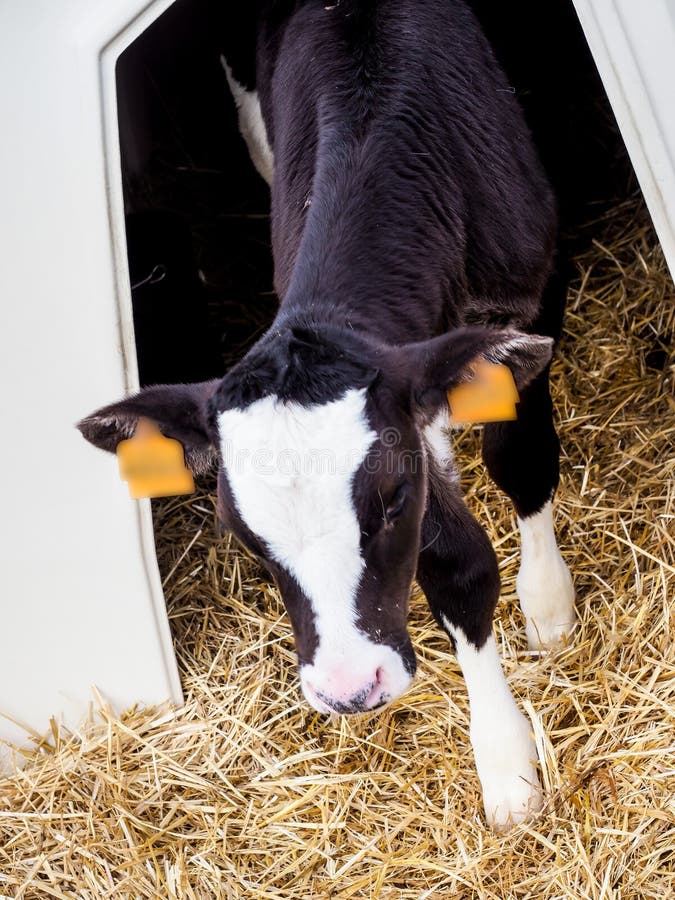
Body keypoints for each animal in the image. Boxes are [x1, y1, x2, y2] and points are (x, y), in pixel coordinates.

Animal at [79, 0, 576, 829]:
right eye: (242, 533)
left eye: (390, 503)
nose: (348, 690)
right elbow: (453, 562)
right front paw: (504, 762)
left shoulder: (528, 295)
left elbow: (518, 461)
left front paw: (546, 603)